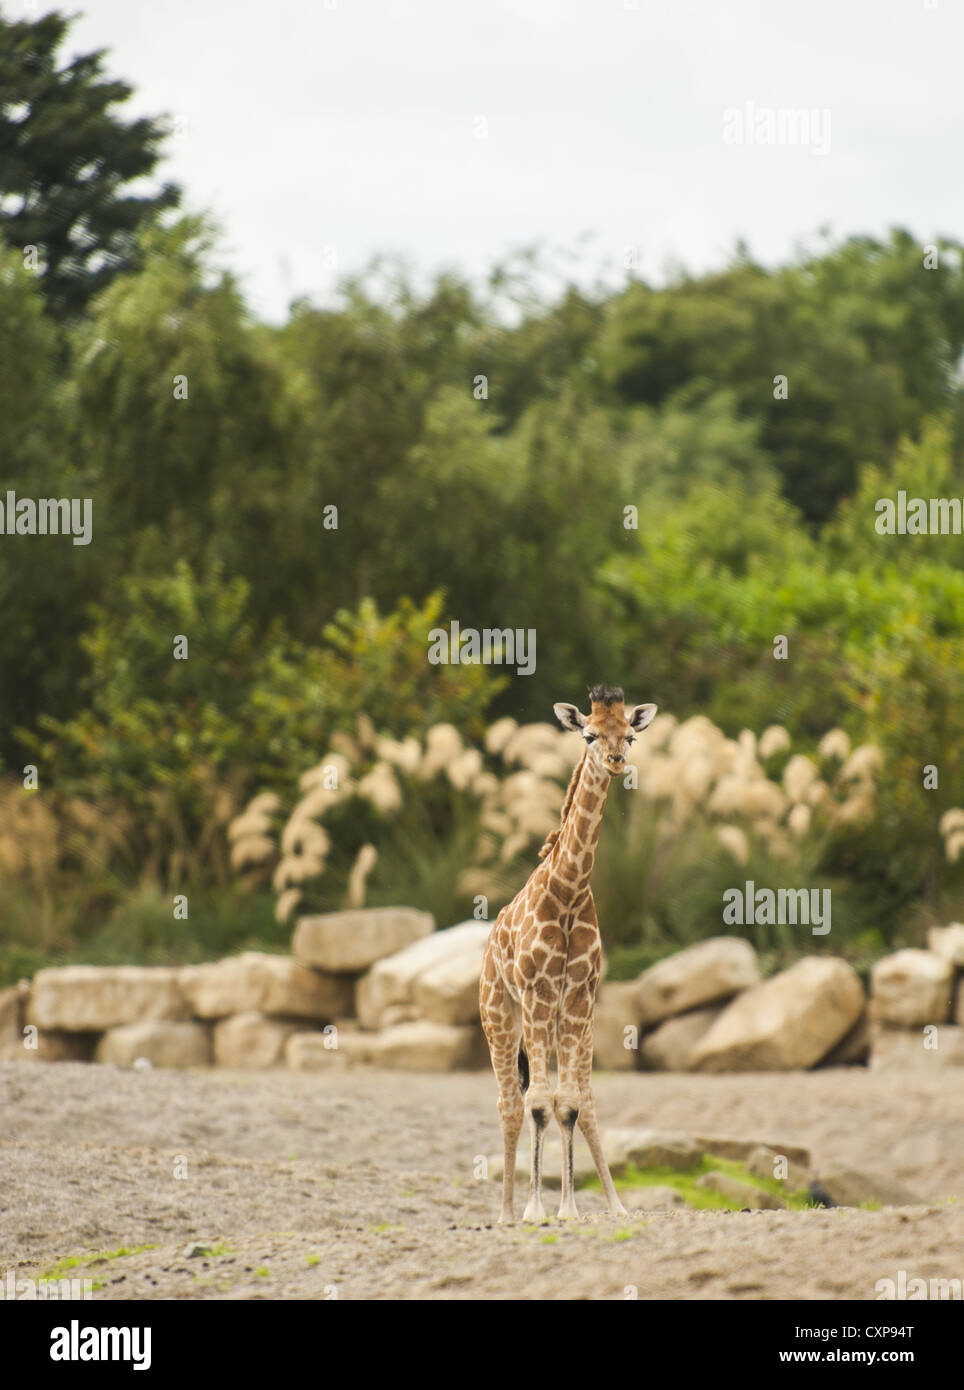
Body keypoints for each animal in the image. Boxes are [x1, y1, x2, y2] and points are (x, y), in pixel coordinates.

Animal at [479, 684, 658, 1223]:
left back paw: (614, 1205)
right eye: (589, 734)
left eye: (630, 735)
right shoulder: (537, 994)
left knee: (582, 1099)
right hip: (500, 1016)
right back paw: (506, 1212)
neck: (569, 891)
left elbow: (571, 1103)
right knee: (510, 1102)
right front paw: (537, 1210)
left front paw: (572, 1209)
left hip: (567, 1024)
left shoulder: (579, 996)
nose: (616, 760)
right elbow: (539, 1101)